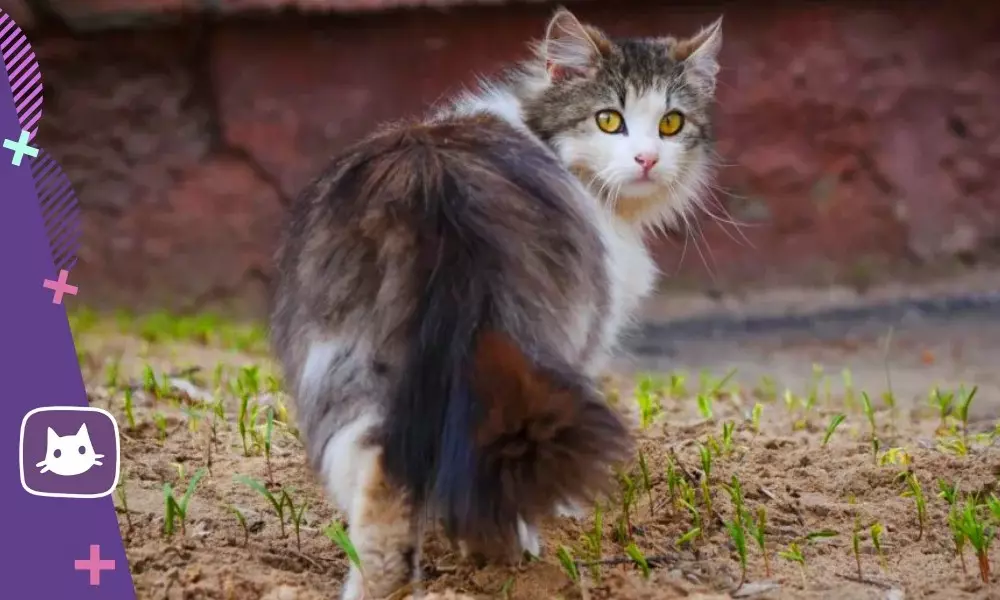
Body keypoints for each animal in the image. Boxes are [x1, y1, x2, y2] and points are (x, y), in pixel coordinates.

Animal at [270, 7, 724, 596]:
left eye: (671, 124)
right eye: (609, 121)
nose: (647, 159)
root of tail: (436, 199)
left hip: (348, 363)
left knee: (381, 481)